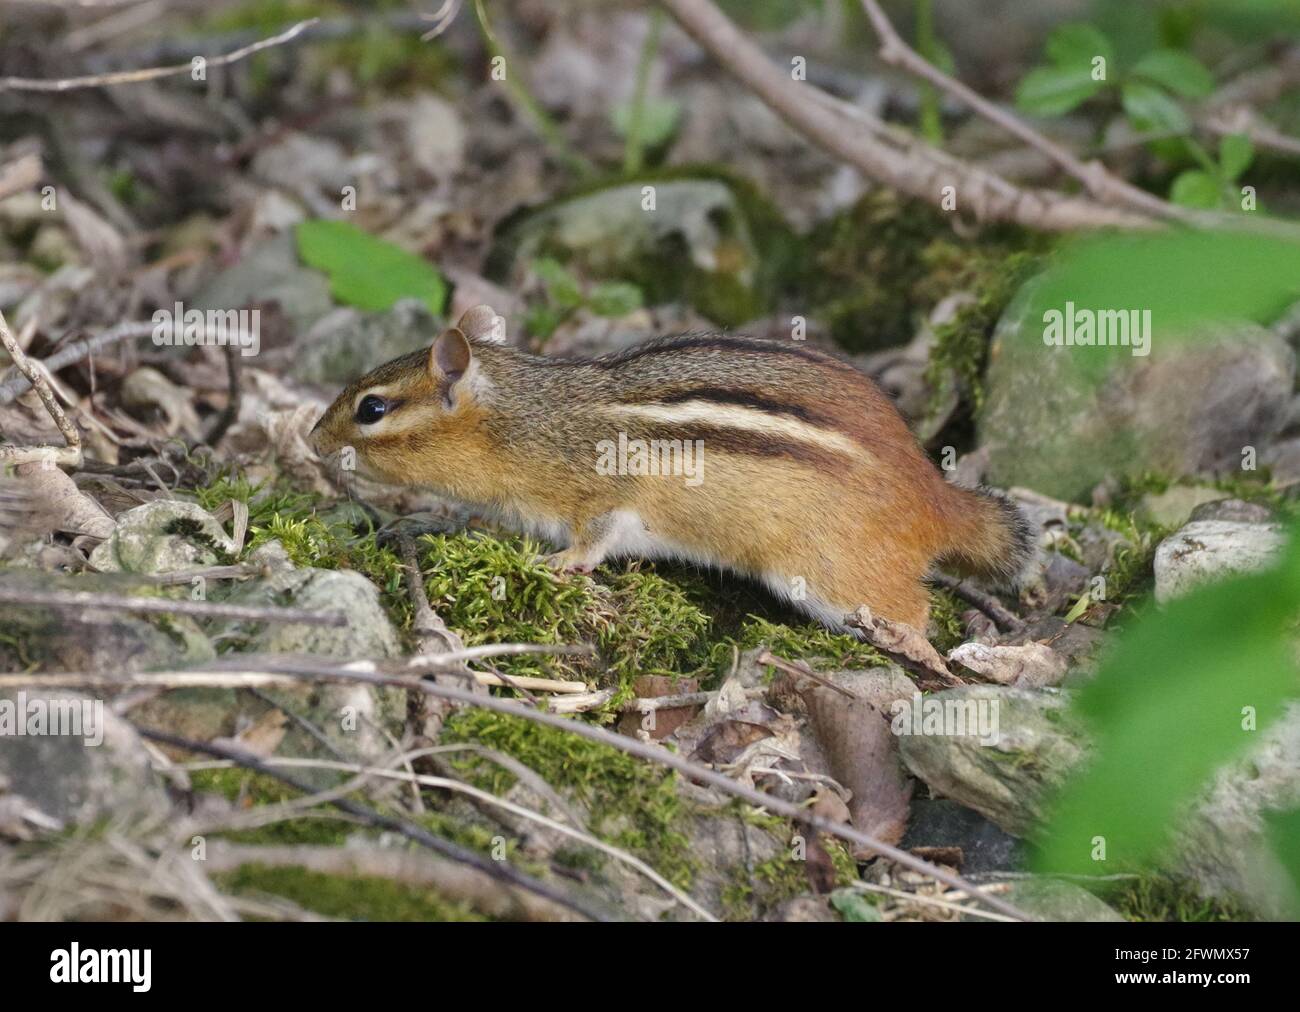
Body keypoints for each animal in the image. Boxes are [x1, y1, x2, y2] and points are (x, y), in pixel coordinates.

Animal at [310, 305, 1035, 632]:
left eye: (372, 408)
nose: (313, 439)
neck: (523, 419)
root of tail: (933, 494)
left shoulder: (602, 491)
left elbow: (597, 536)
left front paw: (561, 564)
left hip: (828, 575)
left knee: (914, 611)